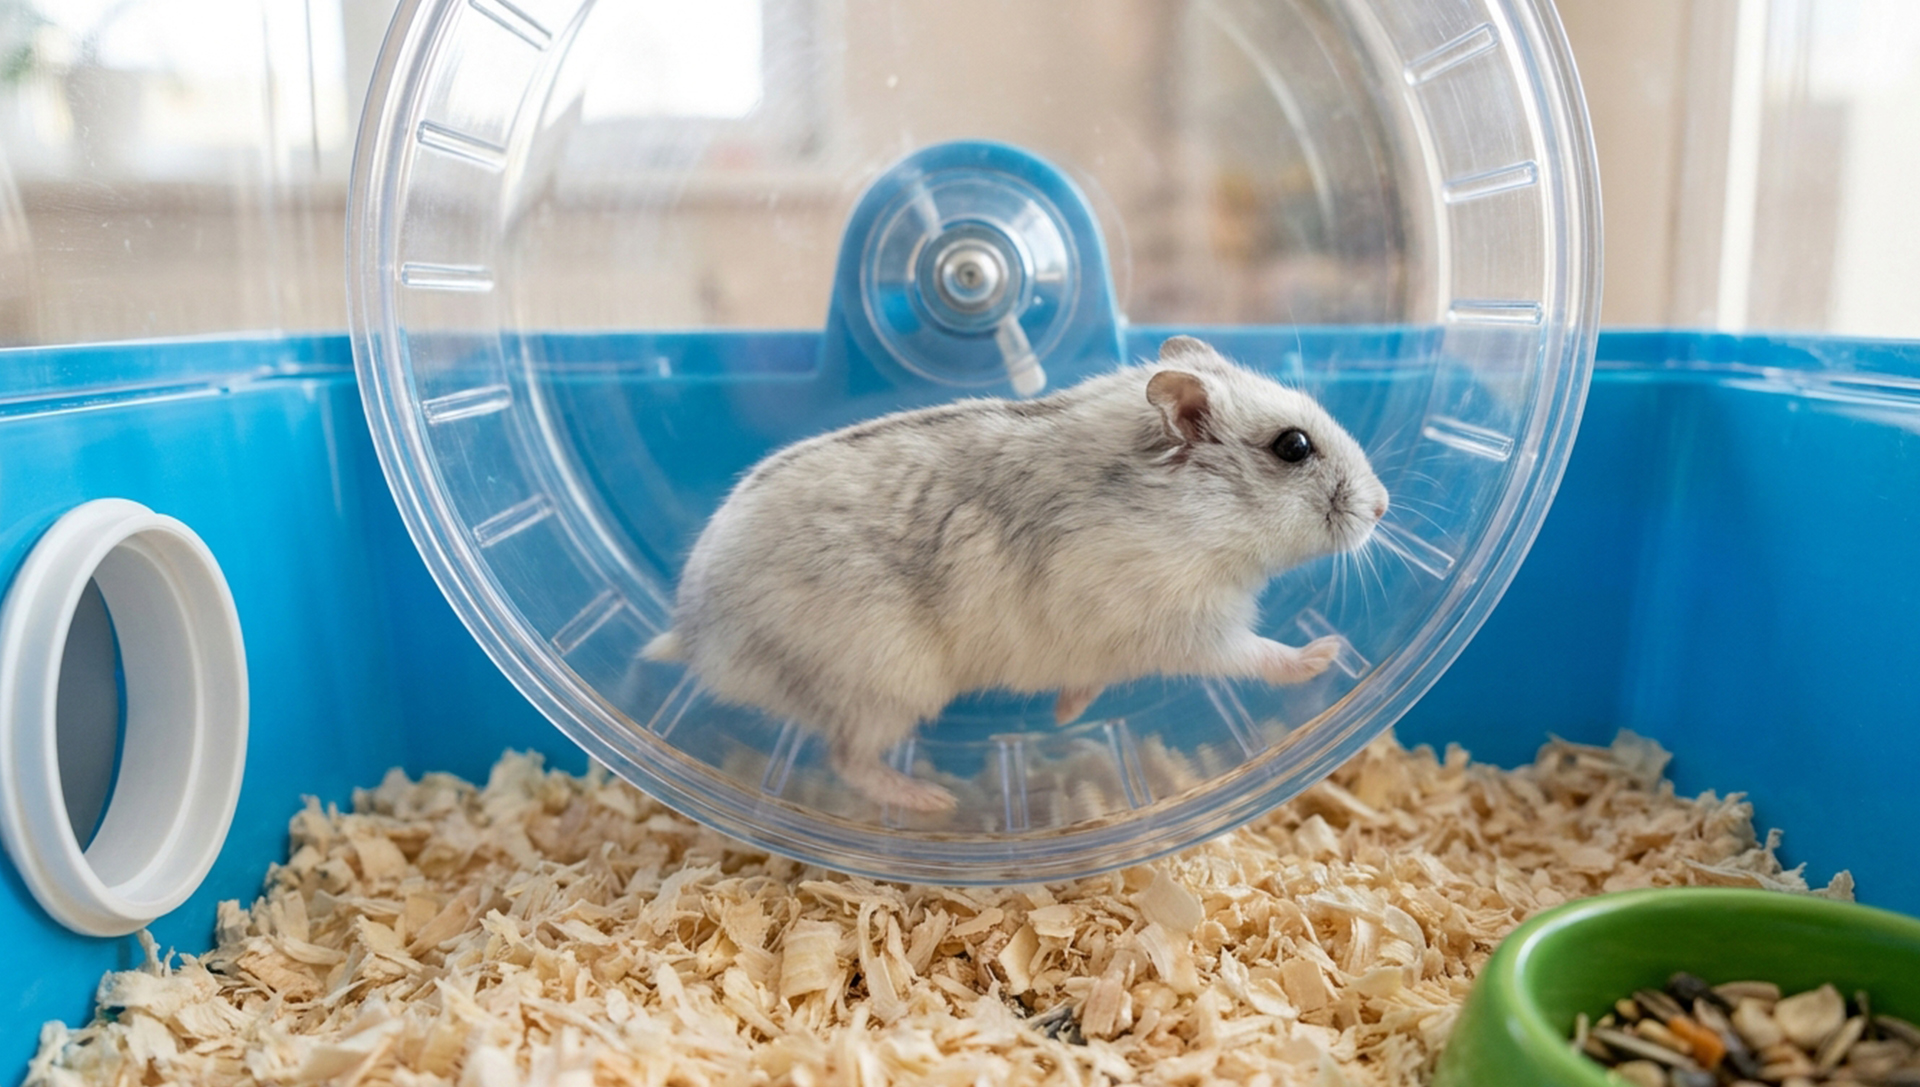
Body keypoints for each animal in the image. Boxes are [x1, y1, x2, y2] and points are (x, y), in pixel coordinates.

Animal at [644, 335, 1389, 813]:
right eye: (1293, 446)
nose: (1383, 506)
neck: (1192, 511)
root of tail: (693, 633)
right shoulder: (1190, 627)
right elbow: (1257, 654)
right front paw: (1328, 653)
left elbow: (1090, 682)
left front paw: (1064, 713)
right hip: (883, 684)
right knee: (848, 759)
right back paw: (933, 801)